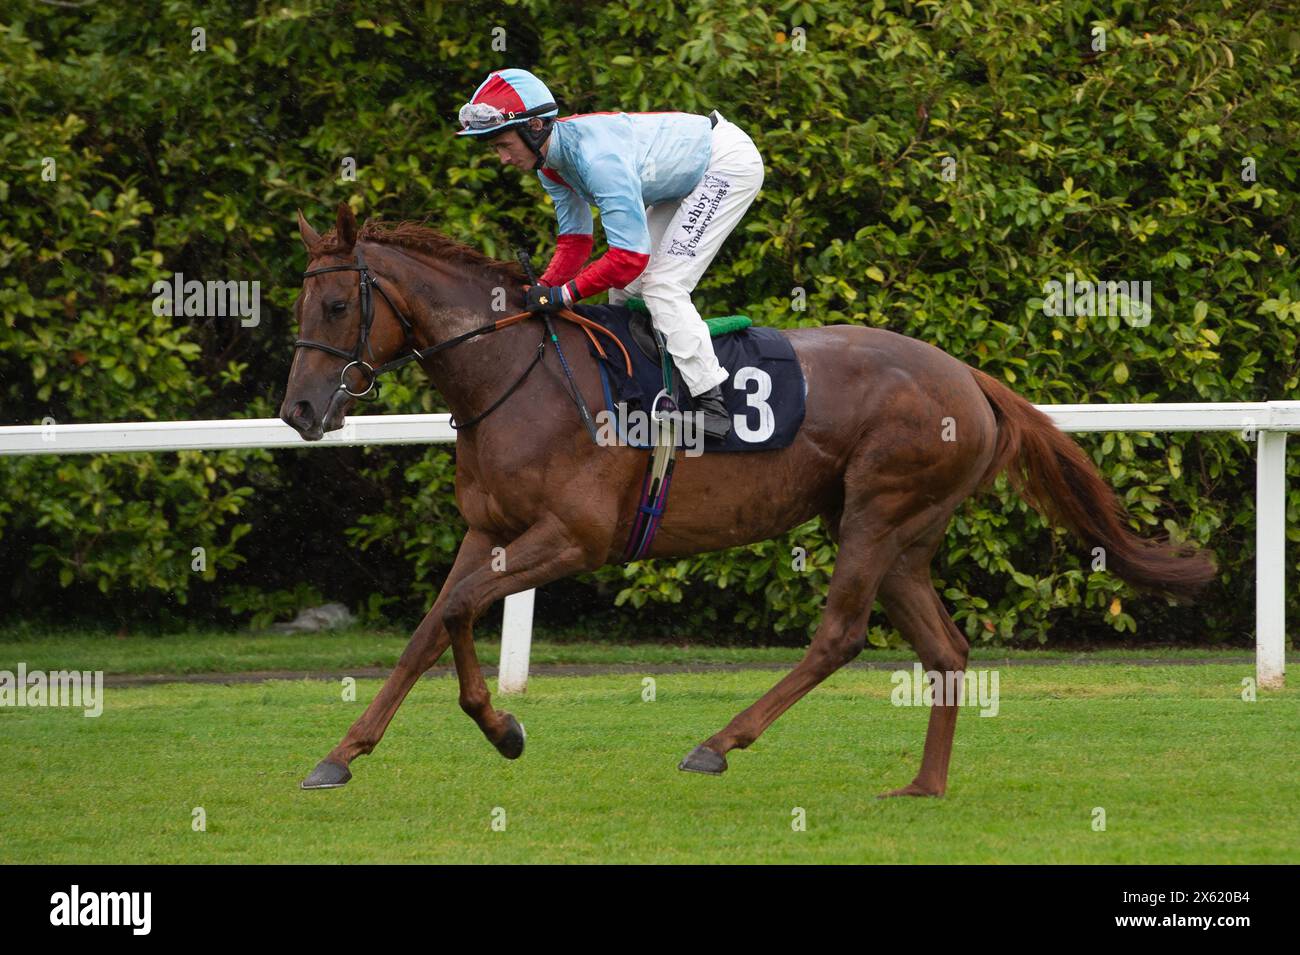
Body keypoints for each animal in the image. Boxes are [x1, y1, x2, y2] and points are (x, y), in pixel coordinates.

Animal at [281, 203, 1216, 795]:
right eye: (298, 302)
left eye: (337, 301)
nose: (298, 410)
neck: (516, 375)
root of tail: (972, 378)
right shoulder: (491, 529)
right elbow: (435, 624)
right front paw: (345, 753)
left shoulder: (574, 536)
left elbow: (456, 610)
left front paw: (499, 725)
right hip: (897, 530)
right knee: (946, 651)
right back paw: (923, 785)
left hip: (877, 510)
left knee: (840, 635)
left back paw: (718, 743)